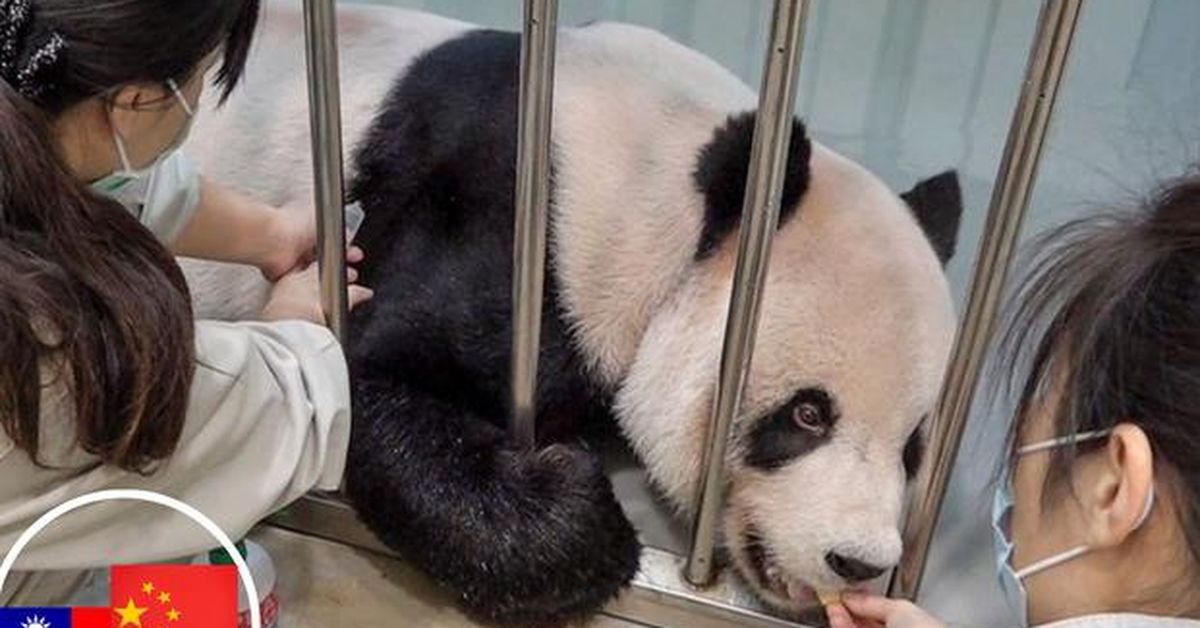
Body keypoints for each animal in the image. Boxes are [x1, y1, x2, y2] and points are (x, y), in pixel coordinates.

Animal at [184, 3, 964, 625]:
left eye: (914, 447)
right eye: (807, 415)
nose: (859, 561)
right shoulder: (514, 228)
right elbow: (362, 372)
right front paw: (582, 510)